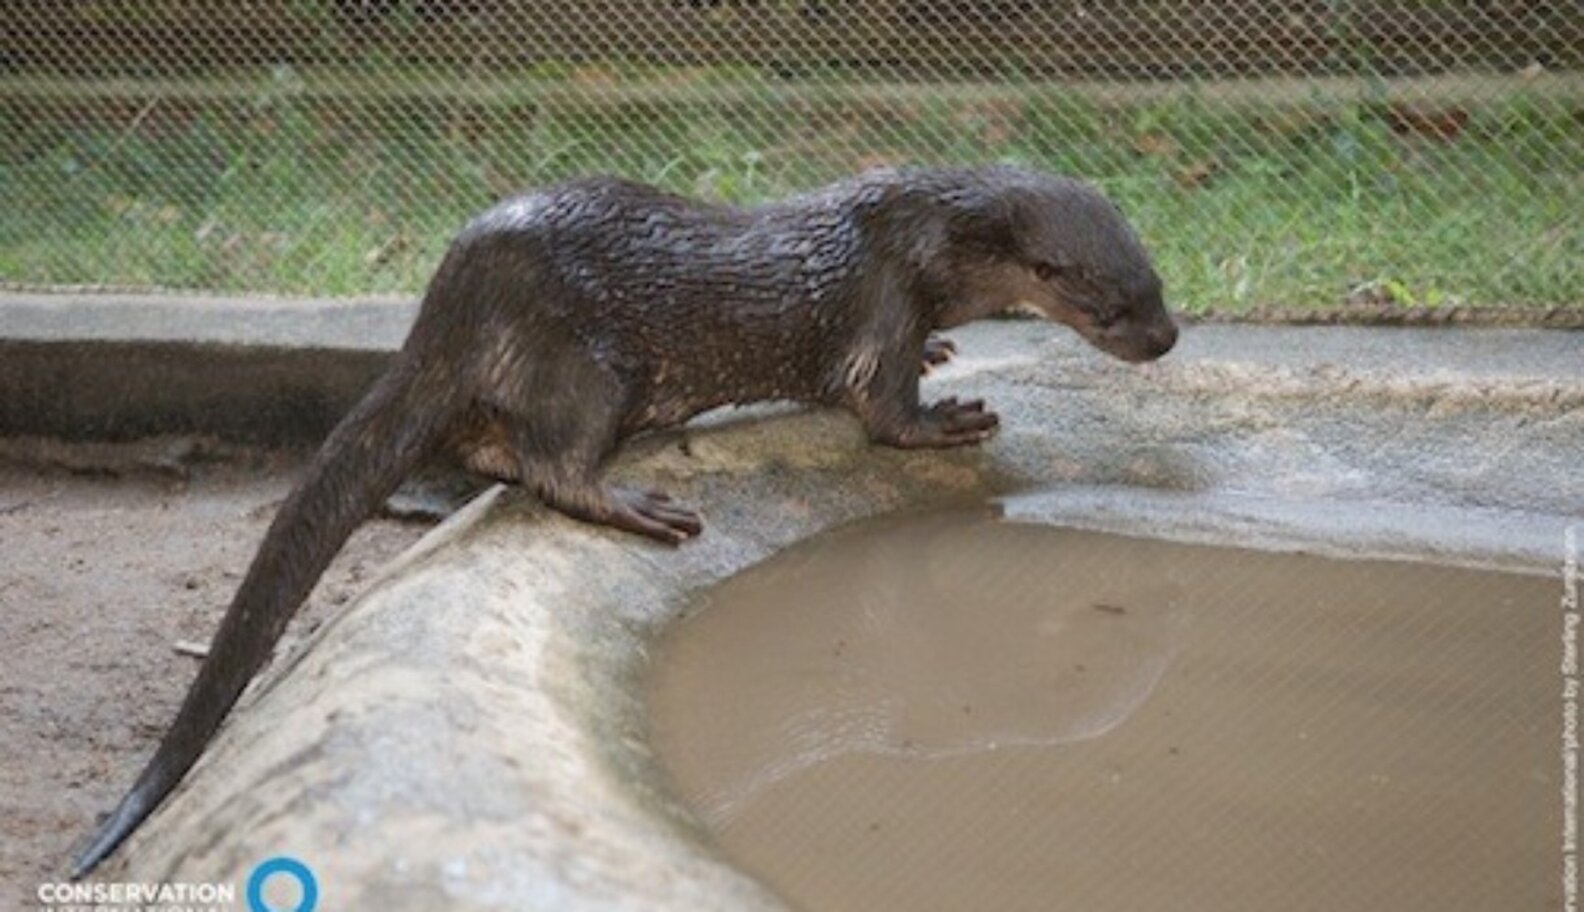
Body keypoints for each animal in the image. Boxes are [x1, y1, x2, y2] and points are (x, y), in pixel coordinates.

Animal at [71, 165, 1177, 876]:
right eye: (1108, 302)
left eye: (1159, 280)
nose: (1167, 338)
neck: (918, 240)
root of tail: (444, 316)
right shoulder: (880, 306)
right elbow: (881, 409)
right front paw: (954, 416)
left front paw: (951, 350)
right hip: (584, 366)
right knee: (553, 466)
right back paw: (637, 505)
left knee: (490, 452)